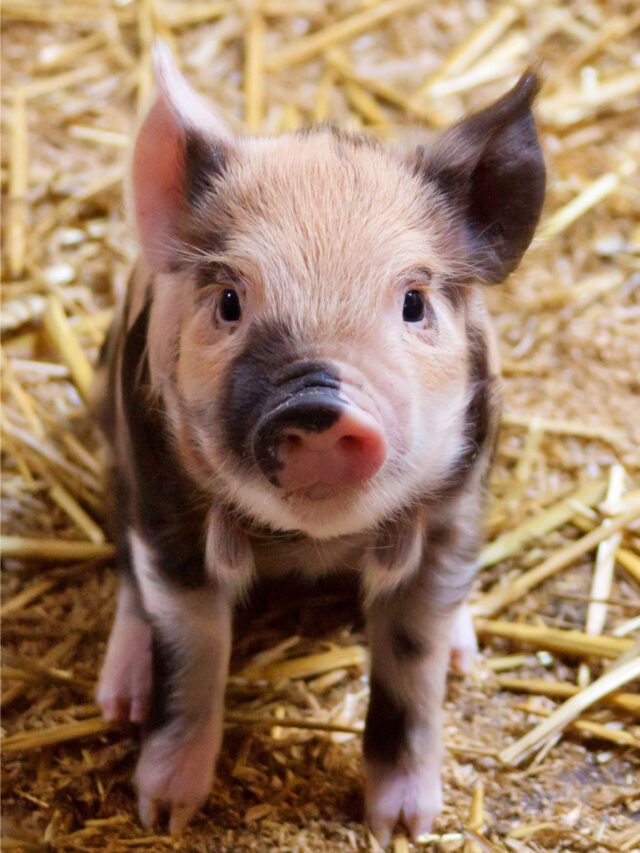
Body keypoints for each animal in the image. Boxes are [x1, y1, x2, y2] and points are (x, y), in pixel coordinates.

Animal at [95, 41, 545, 844]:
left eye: (414, 302)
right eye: (230, 301)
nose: (316, 404)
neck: (312, 544)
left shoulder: (455, 509)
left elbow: (413, 662)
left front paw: (404, 826)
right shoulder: (164, 499)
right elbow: (192, 650)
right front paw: (163, 813)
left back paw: (468, 657)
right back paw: (119, 701)